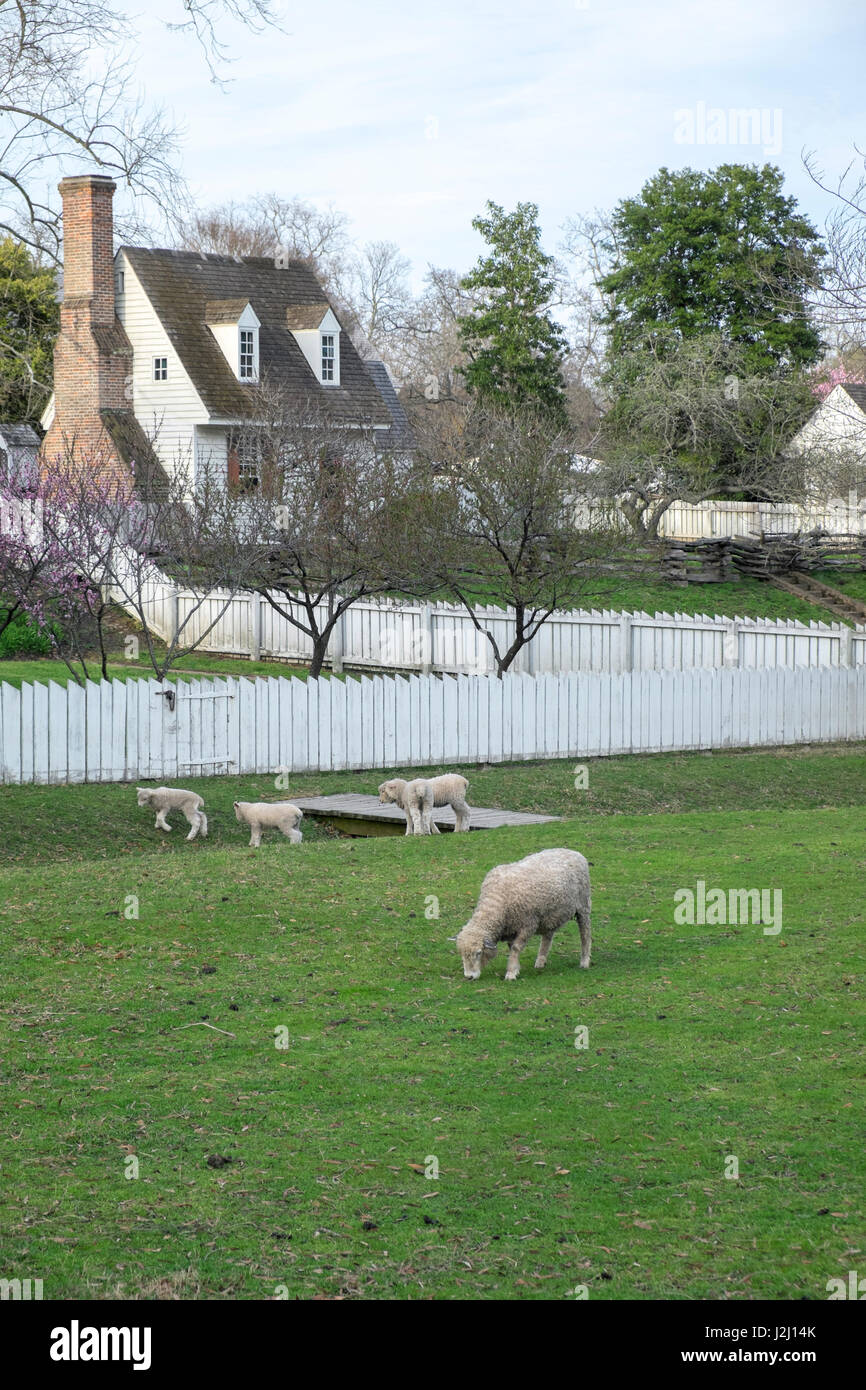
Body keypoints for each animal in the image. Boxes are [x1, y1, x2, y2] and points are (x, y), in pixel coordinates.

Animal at [454, 848, 591, 981]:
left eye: (478, 953)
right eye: (461, 954)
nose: (469, 977)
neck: (498, 902)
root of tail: (572, 851)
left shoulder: (528, 924)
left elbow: (516, 948)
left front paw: (511, 973)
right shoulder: (511, 928)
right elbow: (511, 948)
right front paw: (516, 967)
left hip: (583, 905)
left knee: (585, 933)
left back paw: (585, 961)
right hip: (550, 914)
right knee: (548, 935)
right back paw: (541, 961)